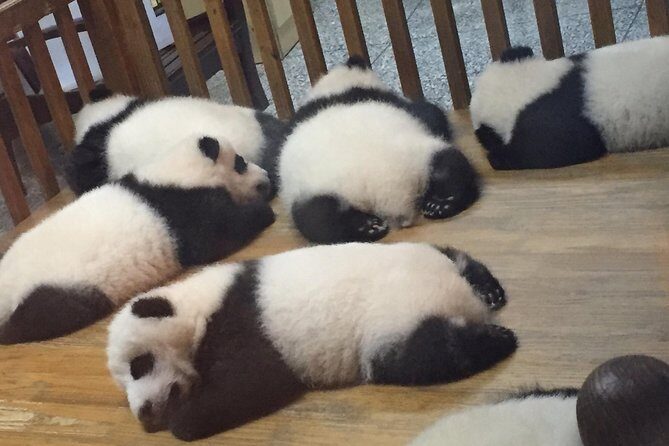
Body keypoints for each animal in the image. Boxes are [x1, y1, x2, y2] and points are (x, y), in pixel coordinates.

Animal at [0, 135, 275, 345]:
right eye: (240, 162)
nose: (267, 178)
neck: (175, 171)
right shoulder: (182, 211)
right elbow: (217, 235)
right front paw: (263, 210)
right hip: (60, 292)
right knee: (43, 318)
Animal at [107, 242, 515, 440]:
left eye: (139, 365)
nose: (144, 413)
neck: (195, 304)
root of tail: (465, 296)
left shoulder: (244, 323)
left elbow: (252, 382)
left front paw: (184, 421)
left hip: (394, 316)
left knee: (424, 355)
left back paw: (499, 338)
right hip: (421, 257)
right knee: (455, 255)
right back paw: (491, 291)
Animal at [278, 57, 480, 244]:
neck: (337, 88)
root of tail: (389, 194)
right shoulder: (400, 103)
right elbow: (431, 113)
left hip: (423, 156)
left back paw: (436, 205)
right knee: (317, 218)